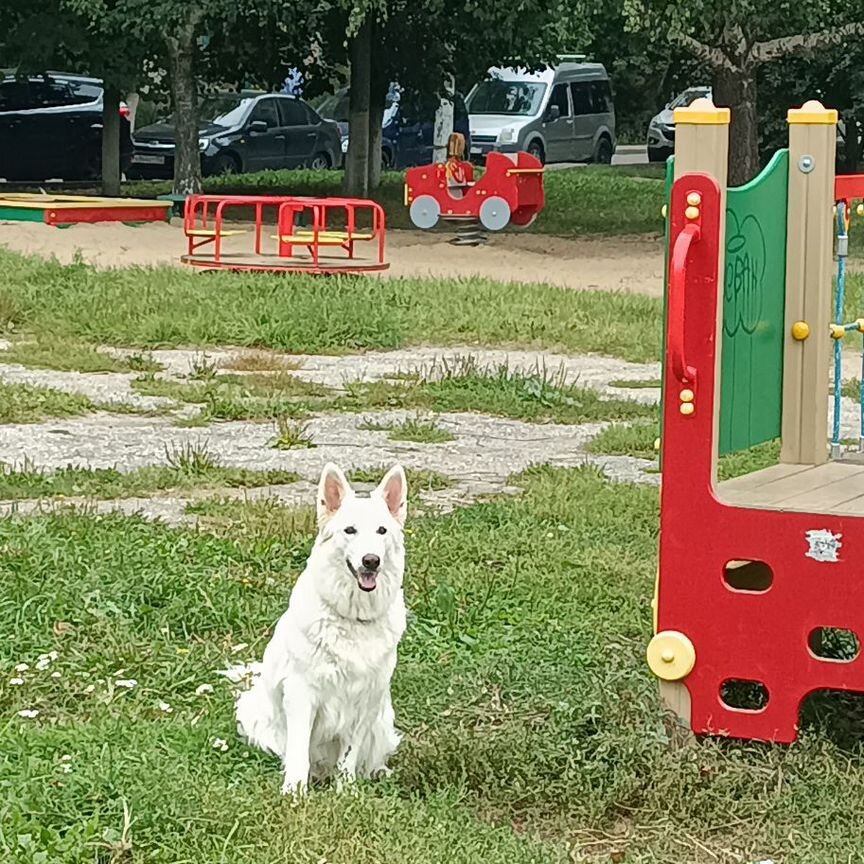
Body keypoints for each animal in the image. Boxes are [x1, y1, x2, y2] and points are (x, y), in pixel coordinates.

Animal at [236, 462, 408, 792]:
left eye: (381, 530)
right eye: (350, 530)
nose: (371, 561)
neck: (353, 618)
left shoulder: (366, 698)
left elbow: (350, 755)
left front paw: (347, 791)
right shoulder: (302, 694)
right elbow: (299, 753)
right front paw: (294, 792)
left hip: (382, 717)